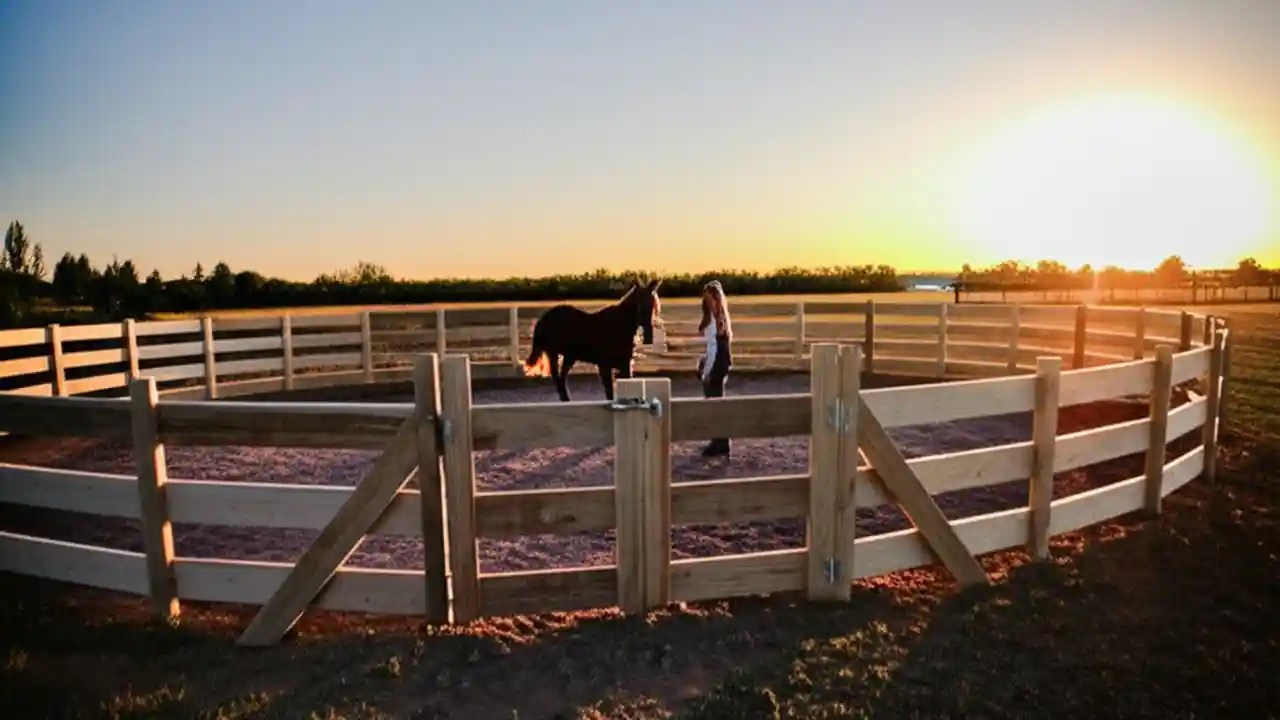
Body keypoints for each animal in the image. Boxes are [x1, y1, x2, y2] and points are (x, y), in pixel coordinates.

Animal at [523, 278, 662, 401]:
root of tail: (544, 318)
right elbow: (609, 392)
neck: (618, 325)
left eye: (653, 305)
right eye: (639, 304)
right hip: (553, 352)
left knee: (562, 378)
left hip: (569, 356)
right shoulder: (605, 364)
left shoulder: (625, 363)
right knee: (557, 377)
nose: (649, 337)